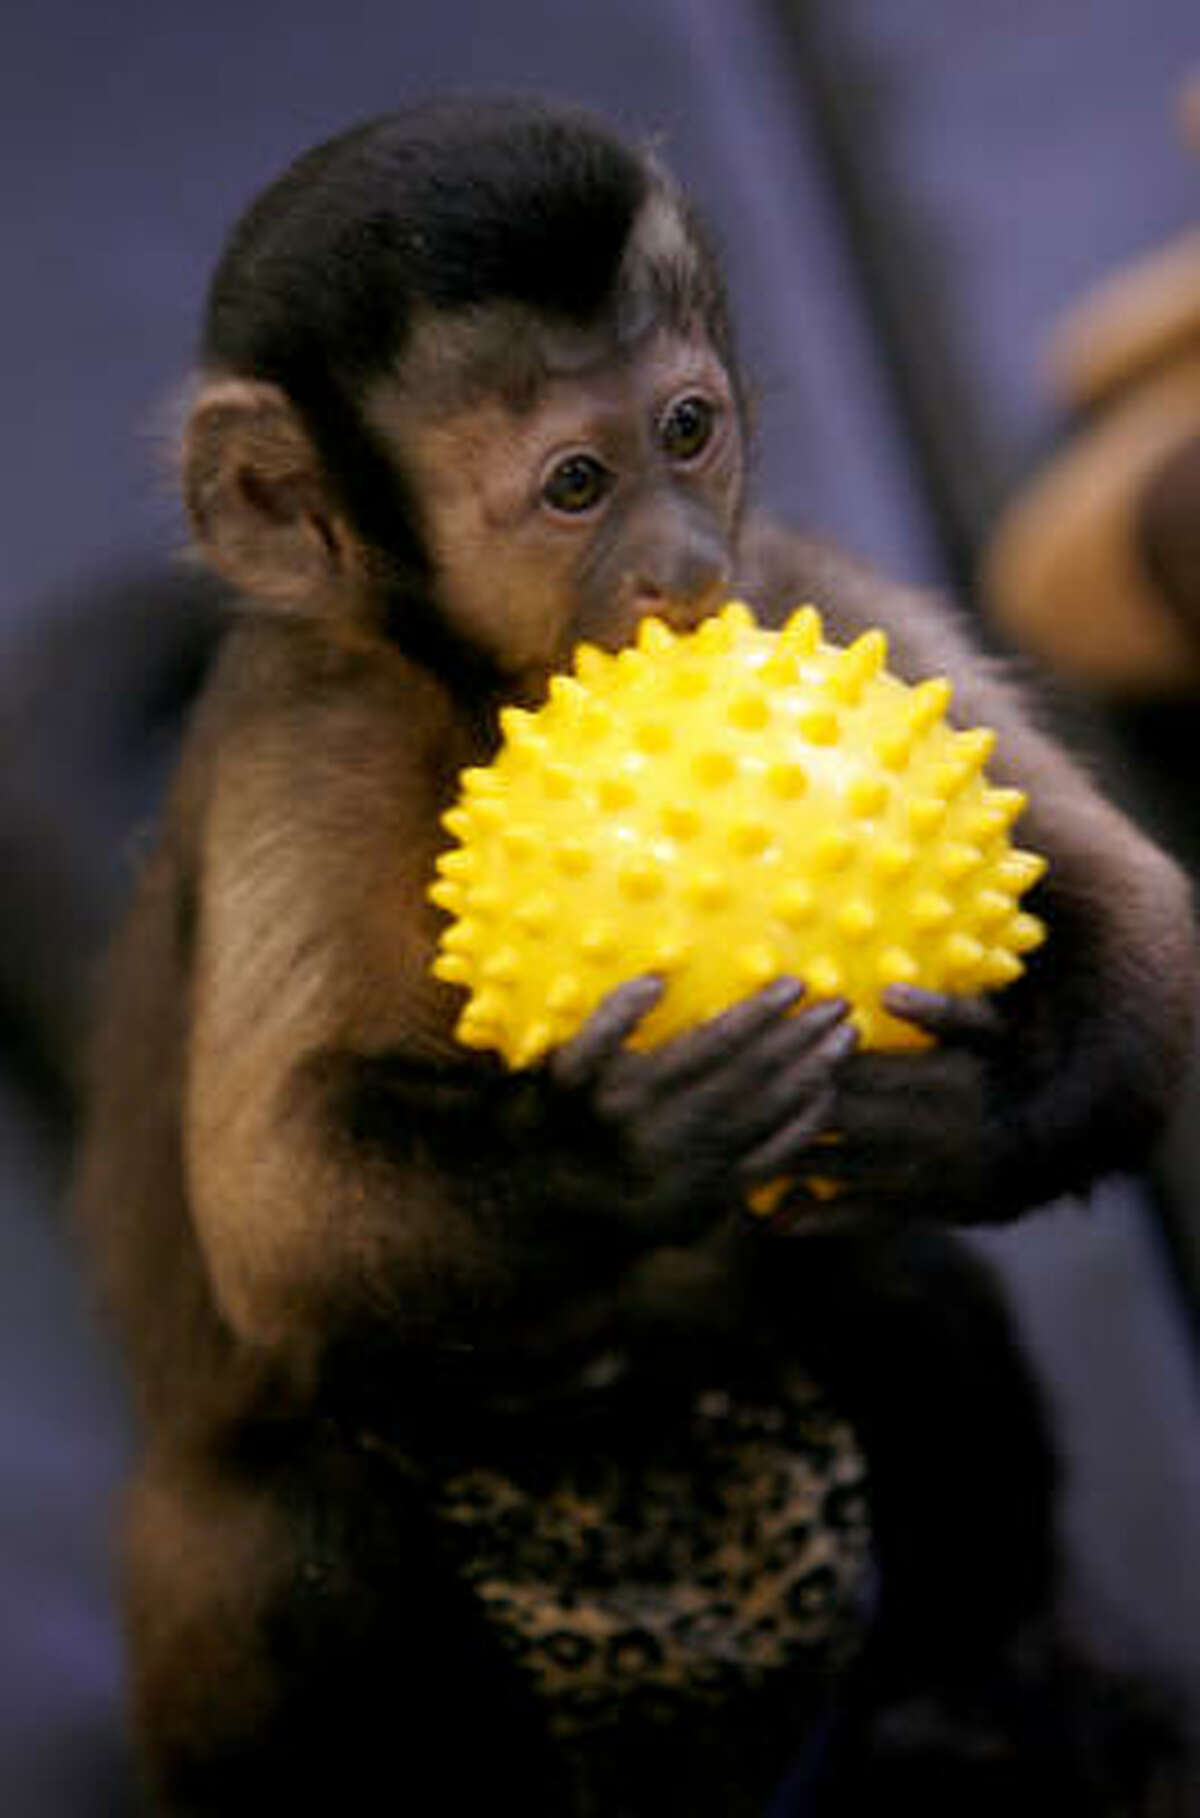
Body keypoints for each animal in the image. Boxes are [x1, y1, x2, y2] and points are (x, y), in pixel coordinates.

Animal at [74, 99, 1197, 1816]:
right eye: (575, 483)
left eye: (687, 431)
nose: (677, 565)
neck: (490, 689)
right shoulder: (306, 732)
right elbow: (277, 1207)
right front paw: (618, 1141)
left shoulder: (793, 576)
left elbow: (1147, 926)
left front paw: (973, 1105)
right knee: (276, 1525)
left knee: (890, 1276)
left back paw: (972, 1696)